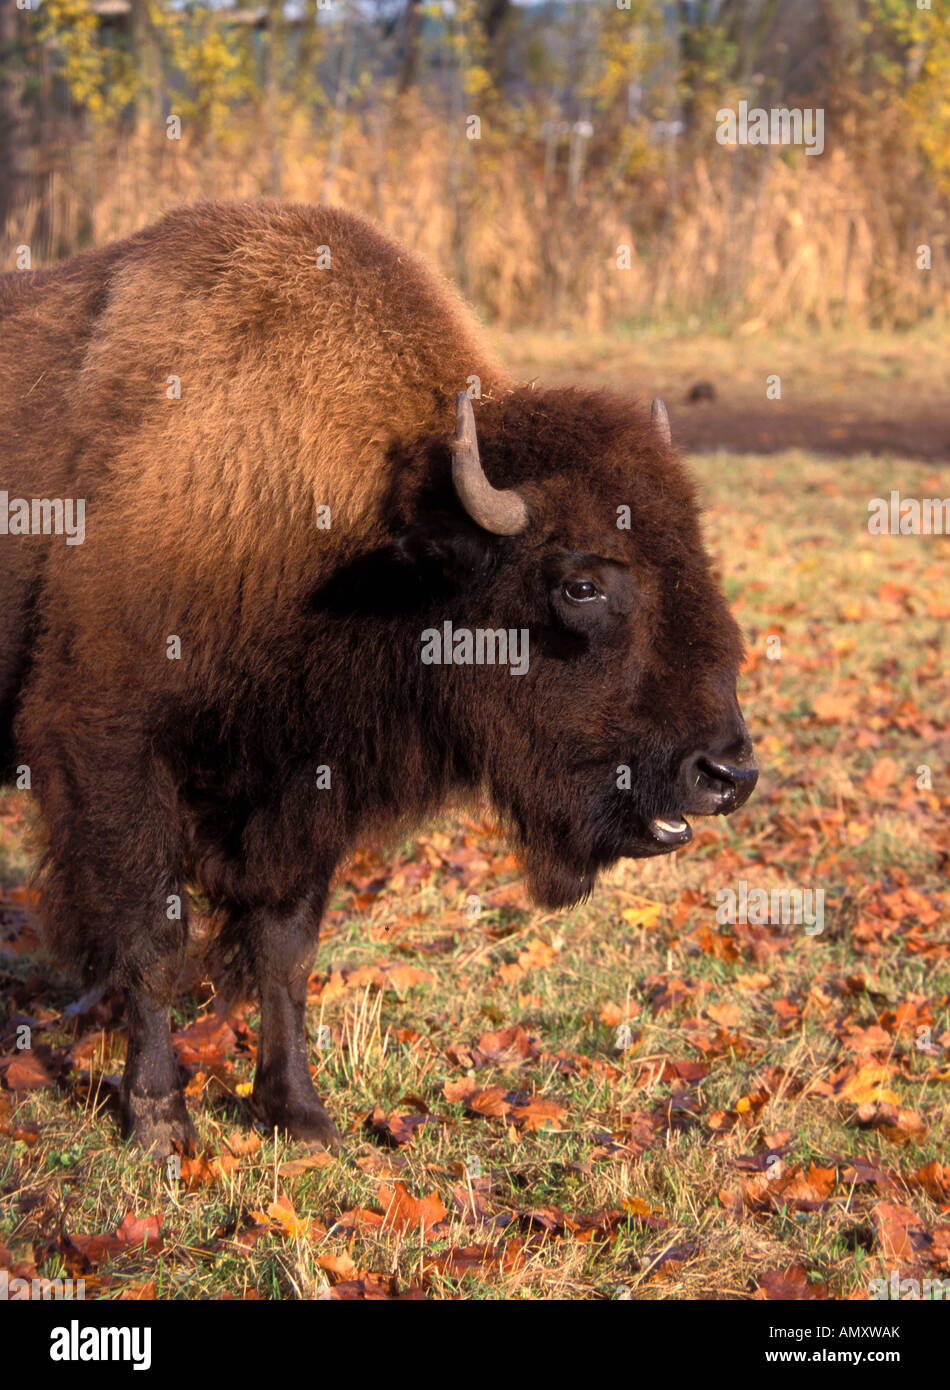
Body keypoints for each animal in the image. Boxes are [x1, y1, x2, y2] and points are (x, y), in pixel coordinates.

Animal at [0, 200, 757, 1155]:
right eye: (582, 584)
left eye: (697, 555)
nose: (727, 773)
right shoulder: (108, 752)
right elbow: (152, 942)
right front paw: (162, 1122)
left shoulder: (303, 787)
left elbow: (286, 951)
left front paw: (298, 1113)